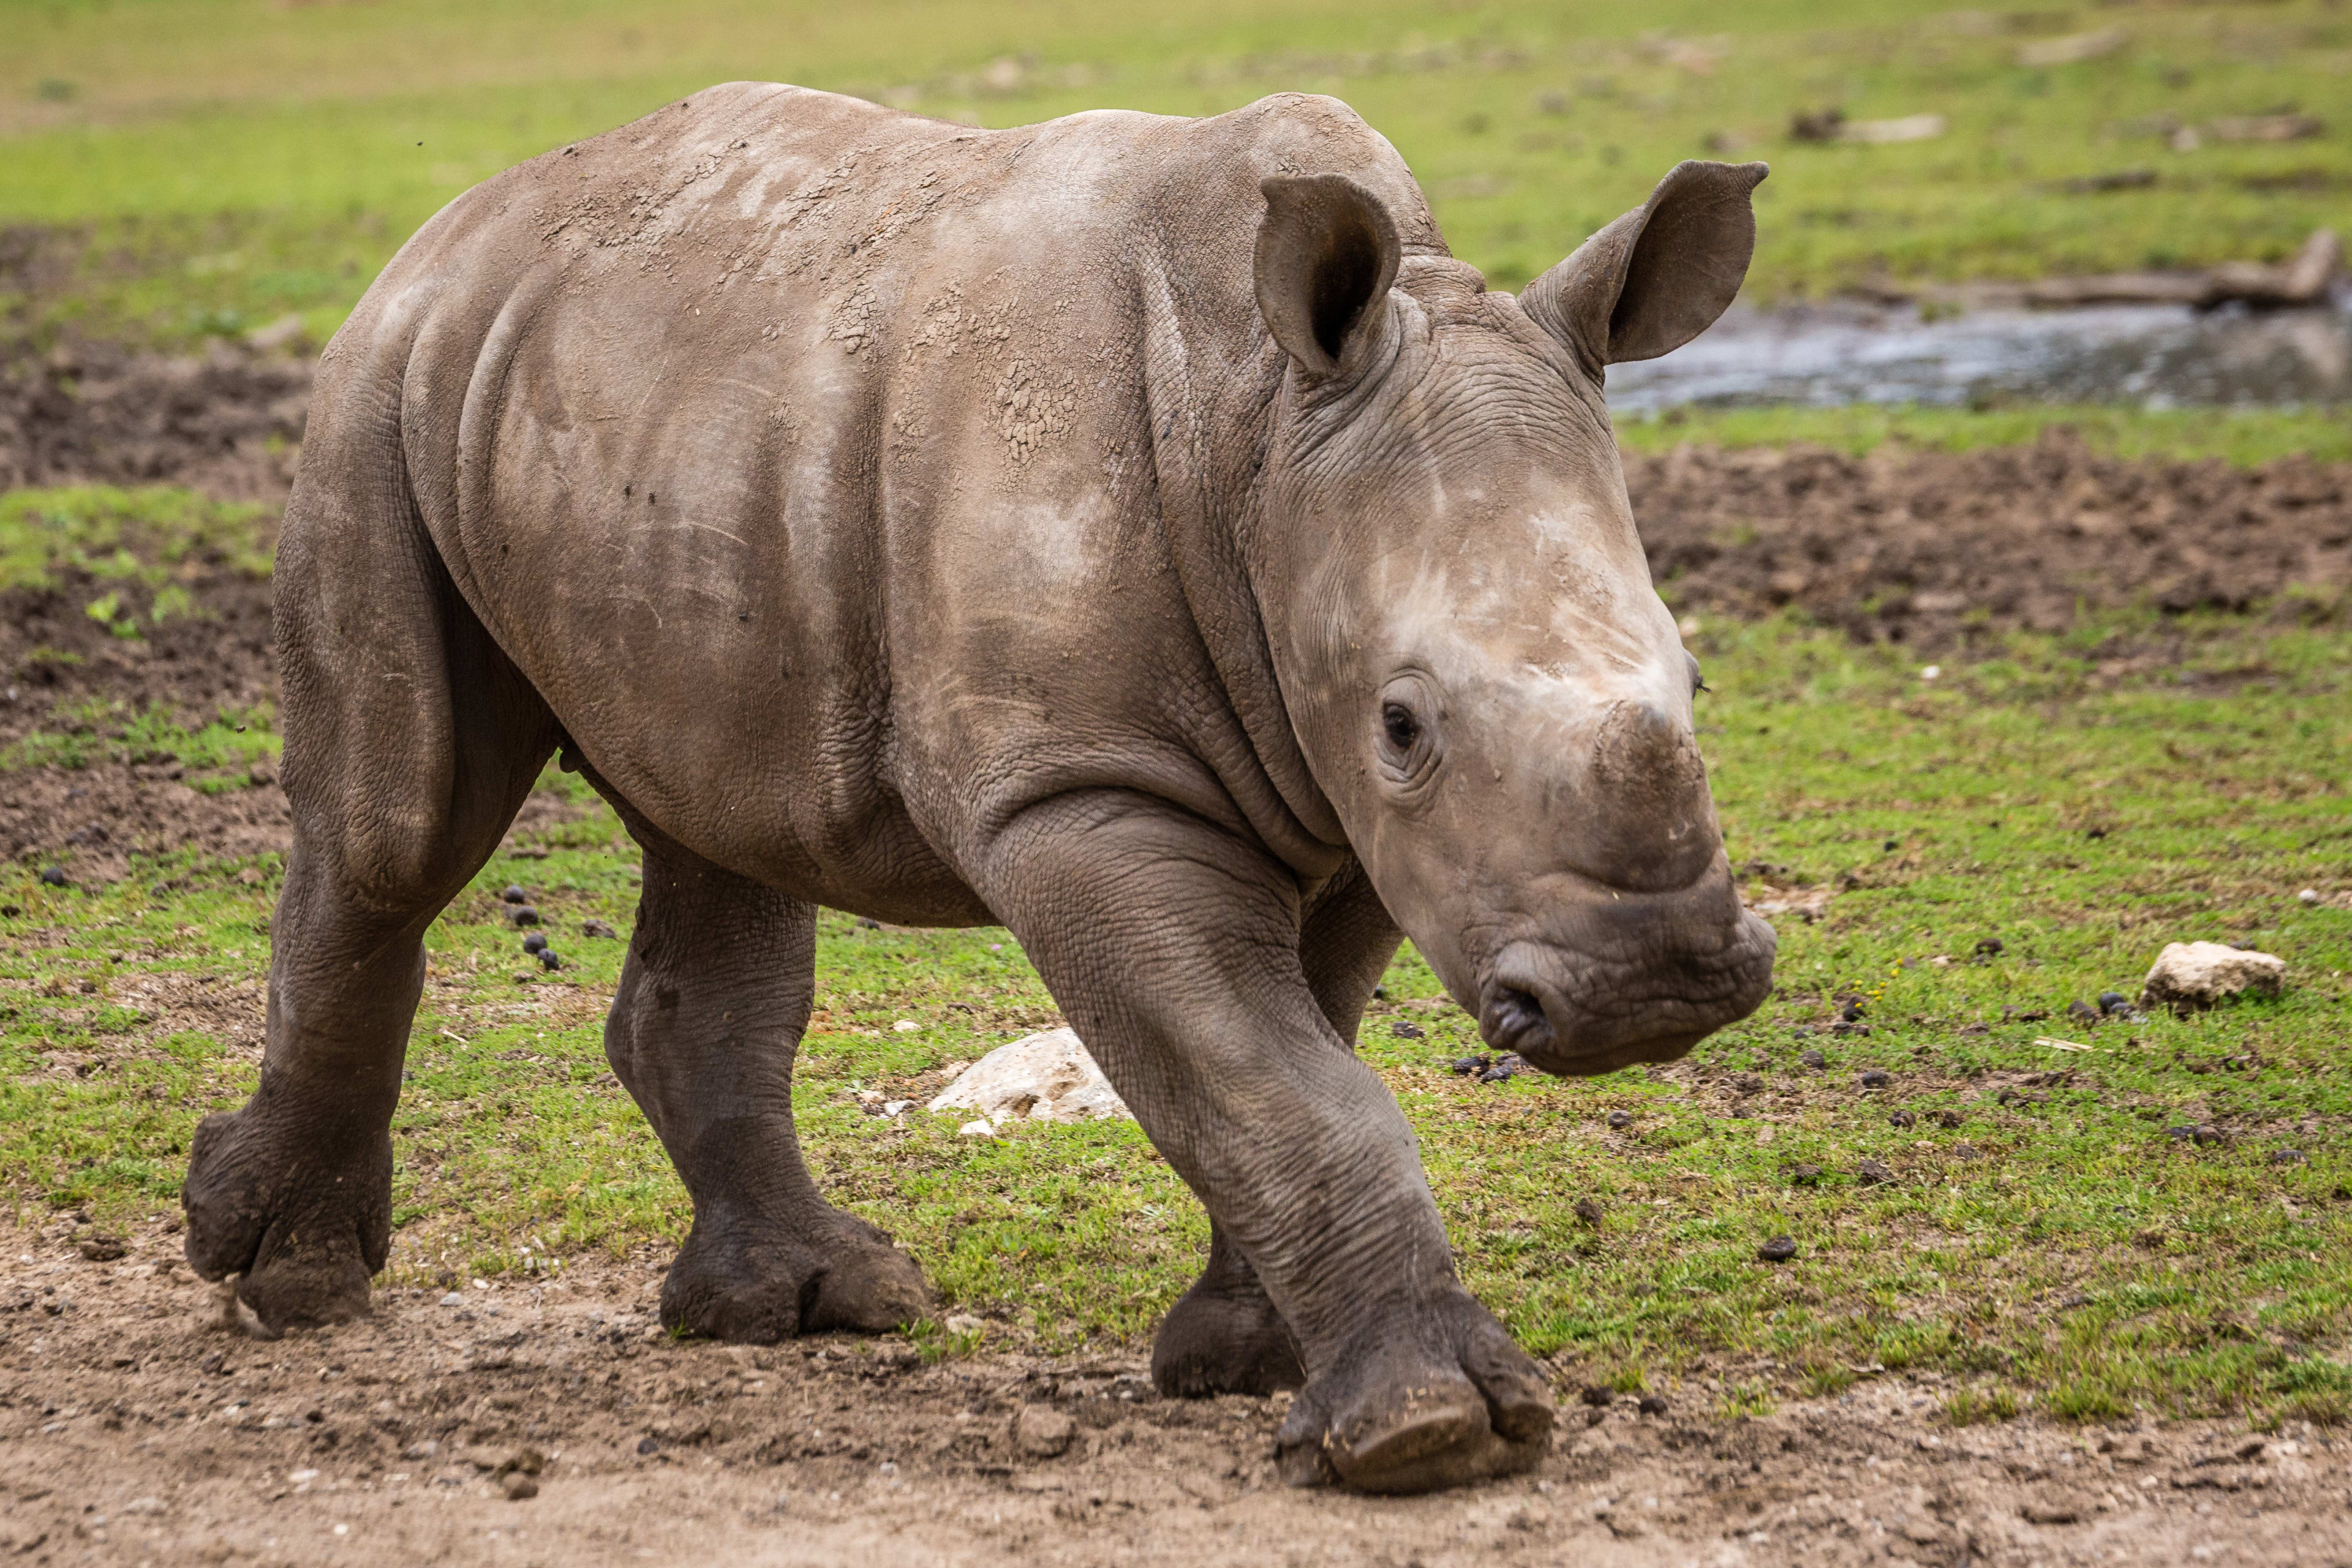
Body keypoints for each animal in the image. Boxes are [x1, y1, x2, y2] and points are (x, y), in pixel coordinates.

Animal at [182, 83, 1775, 1494]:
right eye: (1403, 721)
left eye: (1698, 679)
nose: (1654, 986)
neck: (1264, 425)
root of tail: (462, 221)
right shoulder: (1078, 796)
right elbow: (1284, 1084)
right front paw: (1432, 1437)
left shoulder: (1354, 827)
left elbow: (1298, 1060)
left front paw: (1243, 1363)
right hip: (386, 388)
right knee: (398, 830)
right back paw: (291, 1284)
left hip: (663, 418)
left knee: (718, 825)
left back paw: (806, 1307)